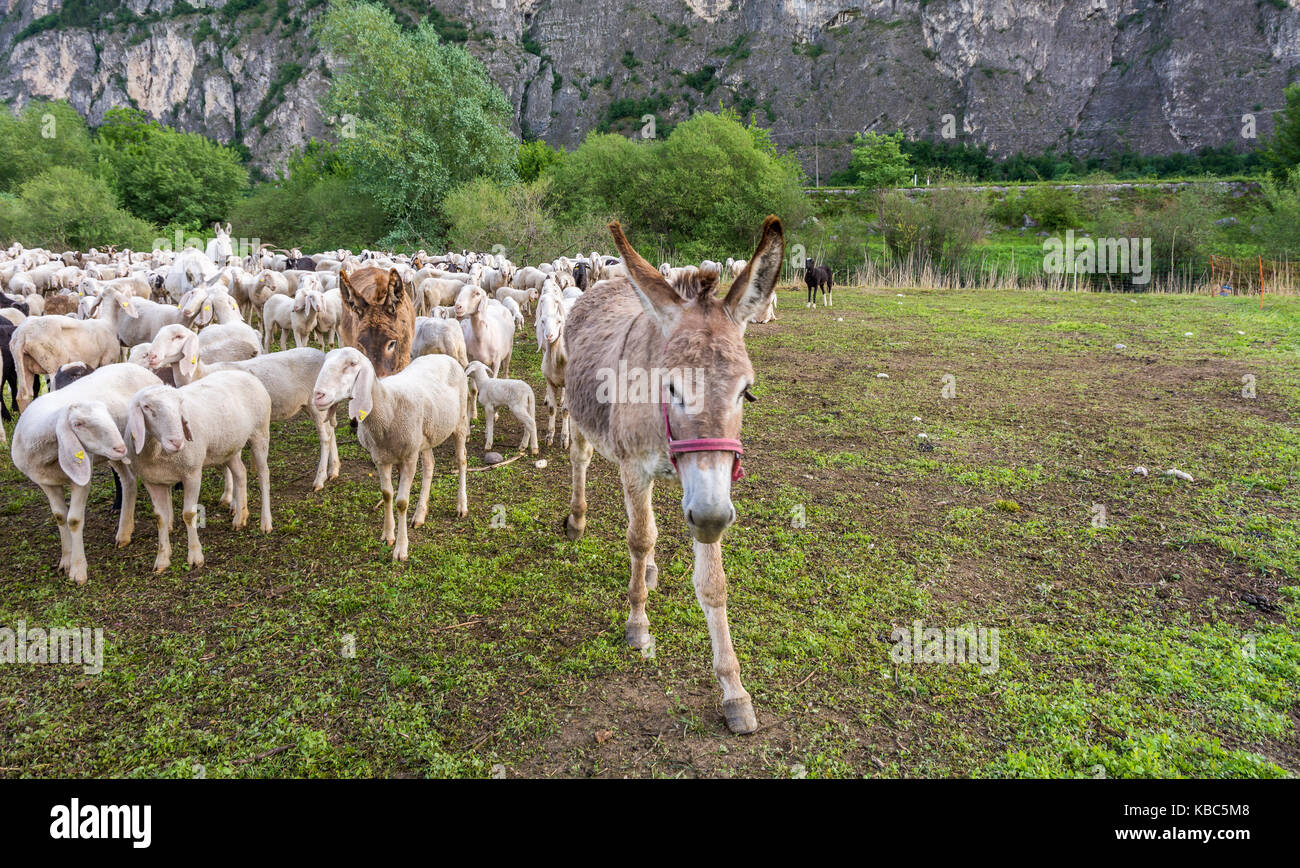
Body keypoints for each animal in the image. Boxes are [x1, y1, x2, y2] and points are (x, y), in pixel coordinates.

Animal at [10, 363, 162, 584]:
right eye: (78, 424)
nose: (121, 447)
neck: (51, 455)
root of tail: (136, 366)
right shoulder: (46, 483)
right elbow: (59, 517)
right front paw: (65, 561)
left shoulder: (82, 480)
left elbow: (73, 520)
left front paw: (78, 570)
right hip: (110, 455)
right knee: (129, 481)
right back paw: (124, 533)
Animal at [125, 371, 273, 572]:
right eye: (147, 407)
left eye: (179, 405)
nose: (177, 442)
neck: (158, 452)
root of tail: (244, 372)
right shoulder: (152, 481)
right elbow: (160, 518)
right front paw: (162, 560)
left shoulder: (192, 473)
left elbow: (189, 514)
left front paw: (195, 557)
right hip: (229, 446)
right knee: (240, 473)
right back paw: (240, 517)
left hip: (260, 432)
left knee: (264, 476)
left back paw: (266, 522)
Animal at [145, 324, 339, 491]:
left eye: (178, 336)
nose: (152, 357)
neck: (201, 374)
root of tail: (322, 356)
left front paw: (230, 495)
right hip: (315, 404)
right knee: (331, 430)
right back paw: (334, 470)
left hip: (315, 404)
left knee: (325, 437)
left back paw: (319, 479)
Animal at [312, 347, 468, 561]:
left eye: (352, 364)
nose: (317, 395)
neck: (387, 407)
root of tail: (441, 355)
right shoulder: (380, 458)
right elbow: (386, 495)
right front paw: (388, 535)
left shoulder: (409, 457)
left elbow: (401, 502)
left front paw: (401, 549)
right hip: (426, 435)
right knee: (429, 465)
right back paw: (420, 515)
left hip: (459, 422)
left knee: (461, 461)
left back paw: (461, 506)